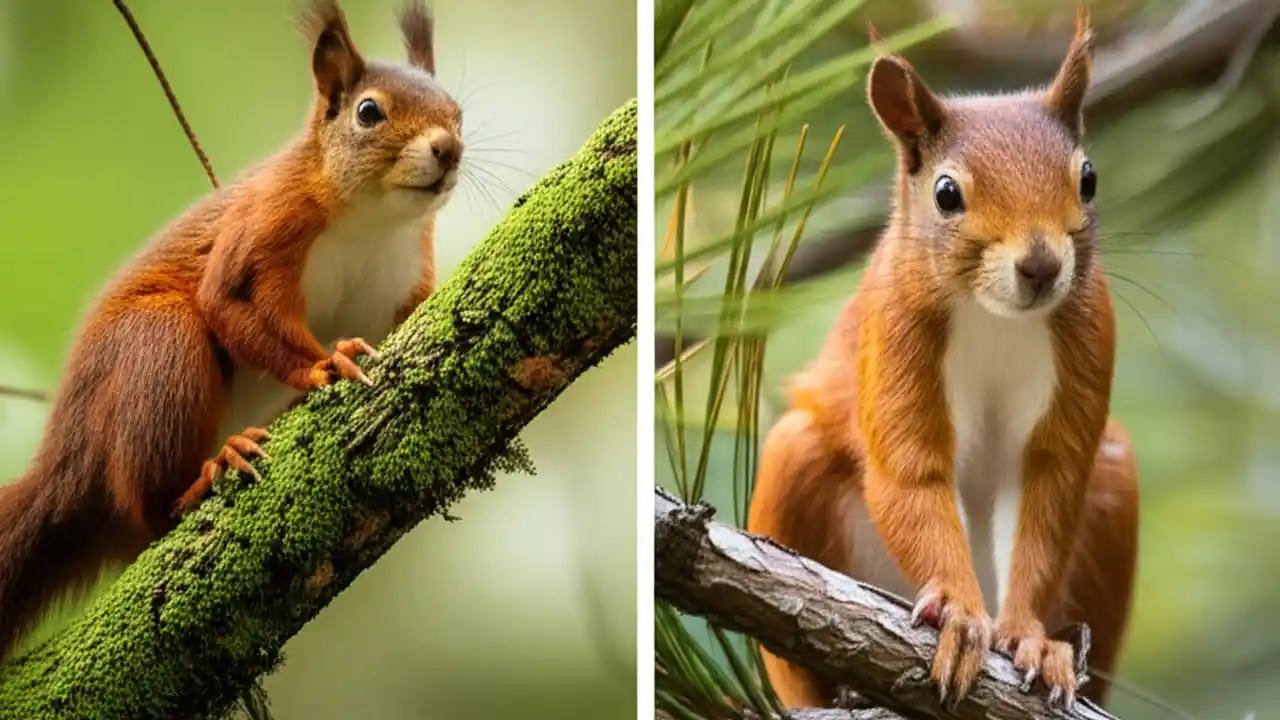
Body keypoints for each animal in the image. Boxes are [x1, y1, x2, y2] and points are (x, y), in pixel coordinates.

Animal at [0, 0, 463, 661]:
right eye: (369, 112)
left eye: (457, 111)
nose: (449, 149)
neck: (372, 220)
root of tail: (68, 455)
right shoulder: (267, 225)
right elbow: (230, 303)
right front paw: (324, 363)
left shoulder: (409, 275)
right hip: (156, 348)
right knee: (153, 507)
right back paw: (211, 469)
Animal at [747, 10, 1138, 710]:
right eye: (947, 193)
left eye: (1088, 178)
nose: (1041, 266)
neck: (994, 317)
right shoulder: (896, 329)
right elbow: (911, 476)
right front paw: (959, 615)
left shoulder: (1090, 339)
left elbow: (1048, 490)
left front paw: (1029, 637)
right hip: (795, 460)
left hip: (1116, 483)